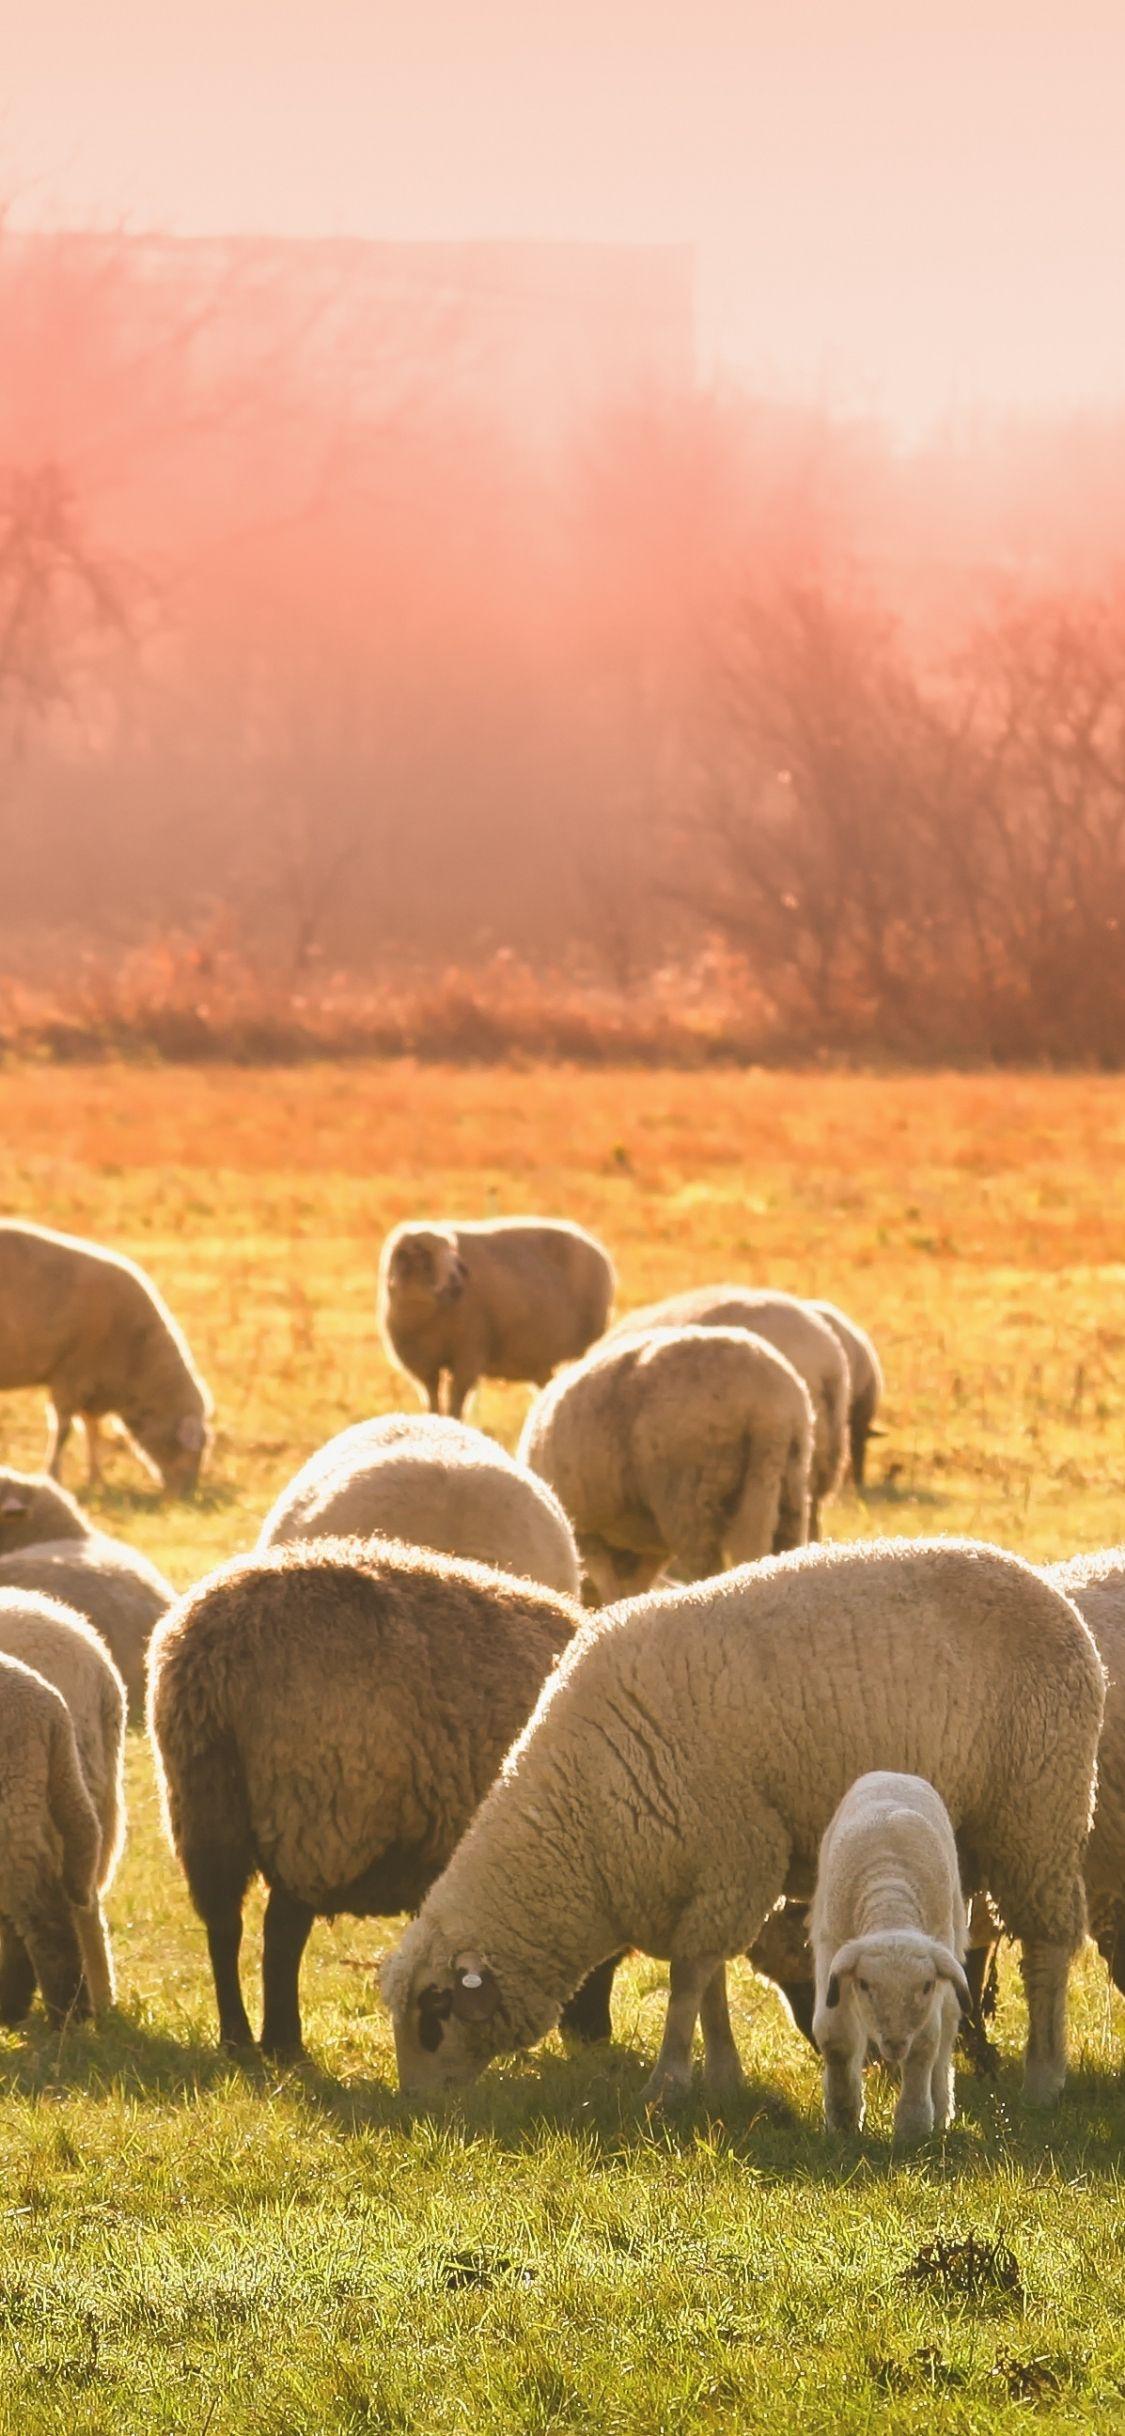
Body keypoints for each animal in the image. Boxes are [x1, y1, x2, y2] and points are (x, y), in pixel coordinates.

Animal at [0, 1219, 212, 1494]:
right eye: (194, 1451)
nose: (187, 1495)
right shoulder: (70, 1375)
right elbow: (63, 1431)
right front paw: (53, 1475)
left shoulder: (93, 1382)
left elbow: (93, 1431)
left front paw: (96, 1479)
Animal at [147, 1539, 620, 2059]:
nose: (595, 2036)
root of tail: (211, 1645)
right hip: (314, 1812)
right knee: (282, 1934)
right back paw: (285, 2045)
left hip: (204, 1805)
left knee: (223, 1926)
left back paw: (237, 2039)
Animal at [378, 1217, 614, 1420]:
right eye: (422, 1255)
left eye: (451, 1252)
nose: (458, 1282)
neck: (427, 1311)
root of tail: (593, 1243)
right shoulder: (424, 1366)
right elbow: (433, 1402)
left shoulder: (468, 1355)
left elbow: (456, 1405)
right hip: (540, 1360)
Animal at [518, 1325, 813, 1602]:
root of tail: (766, 1404)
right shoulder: (650, 1548)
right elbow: (634, 1588)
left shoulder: (587, 1532)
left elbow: (611, 1587)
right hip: (783, 1474)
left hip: (689, 1493)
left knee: (712, 1563)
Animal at [809, 1772, 971, 2141]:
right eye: (865, 1984)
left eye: (925, 1985)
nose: (895, 2044)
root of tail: (895, 1774)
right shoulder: (830, 1945)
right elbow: (835, 2038)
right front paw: (843, 2119)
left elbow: (926, 2043)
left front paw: (914, 2125)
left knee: (947, 2029)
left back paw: (941, 2107)